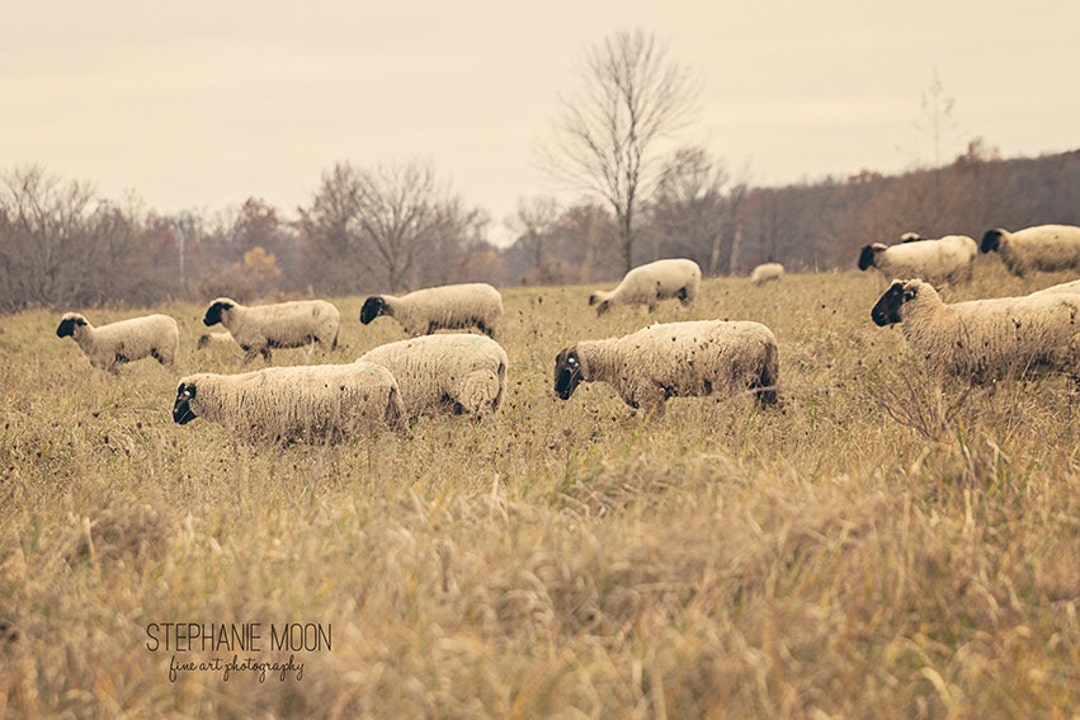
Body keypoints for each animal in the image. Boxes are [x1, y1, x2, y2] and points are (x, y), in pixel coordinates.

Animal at [202, 297, 340, 364]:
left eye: (216, 308)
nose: (204, 320)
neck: (239, 318)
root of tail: (336, 312)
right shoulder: (264, 346)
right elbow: (268, 360)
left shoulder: (257, 344)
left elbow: (245, 362)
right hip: (330, 338)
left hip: (326, 337)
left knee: (327, 355)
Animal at [359, 283, 503, 339]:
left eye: (370, 304)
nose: (361, 319)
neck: (400, 307)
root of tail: (497, 295)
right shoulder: (428, 329)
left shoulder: (419, 328)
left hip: (490, 321)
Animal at [553, 320, 779, 414]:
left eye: (566, 368)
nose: (559, 393)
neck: (615, 357)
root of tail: (766, 339)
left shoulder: (649, 395)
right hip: (767, 380)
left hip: (732, 382)